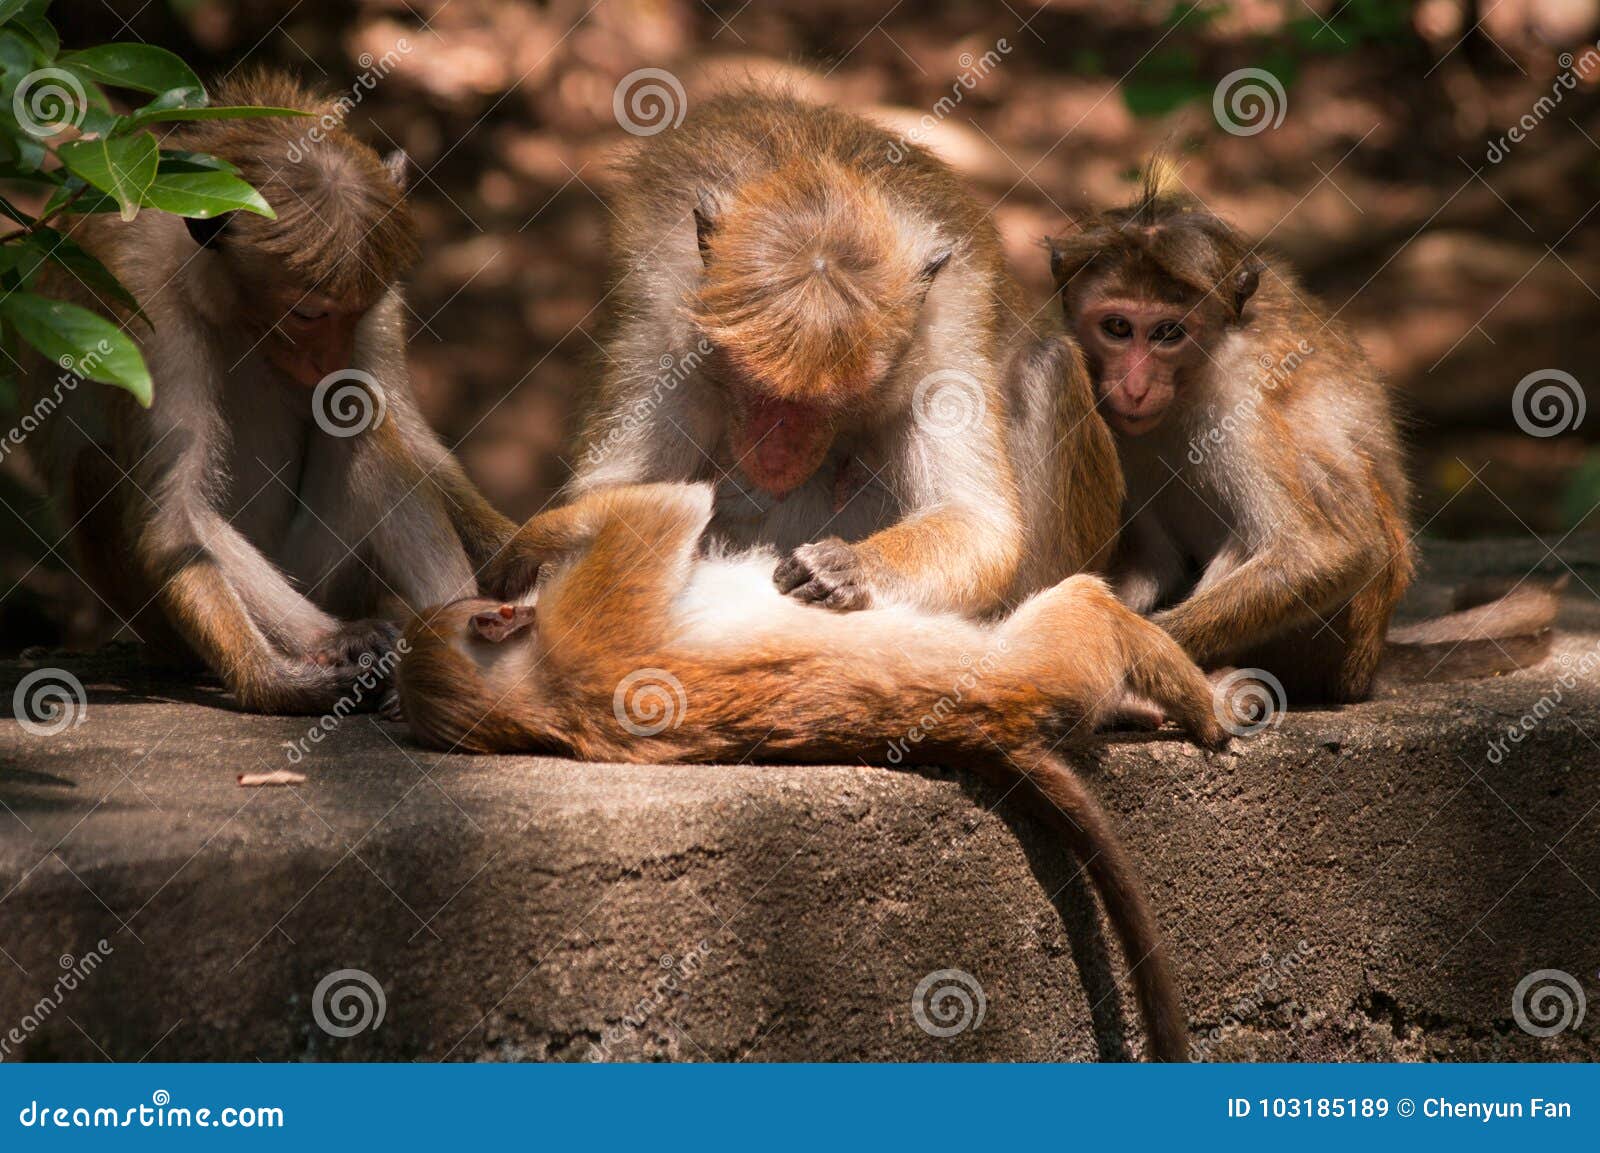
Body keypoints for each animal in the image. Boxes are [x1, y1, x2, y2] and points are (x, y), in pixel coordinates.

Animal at [20, 70, 514, 714]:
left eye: (355, 311)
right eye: (307, 314)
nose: (329, 359)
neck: (225, 303)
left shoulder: (383, 302)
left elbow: (412, 437)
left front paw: (518, 553)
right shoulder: (143, 303)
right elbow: (173, 516)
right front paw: (282, 677)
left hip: (329, 575)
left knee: (359, 416)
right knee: (97, 468)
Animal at [402, 481, 1231, 1061]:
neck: (537, 693)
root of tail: (985, 727)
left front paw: (512, 561)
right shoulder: (593, 610)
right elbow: (668, 508)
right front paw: (525, 550)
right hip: (1041, 659)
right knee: (1085, 603)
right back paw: (1195, 703)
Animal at [485, 88, 1121, 617]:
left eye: (832, 401)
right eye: (752, 385)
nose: (776, 449)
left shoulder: (944, 349)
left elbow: (977, 524)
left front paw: (851, 566)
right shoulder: (665, 335)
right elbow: (618, 496)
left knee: (1045, 363)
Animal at [1048, 160, 1558, 704]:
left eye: (1168, 333)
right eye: (1118, 328)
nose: (1135, 385)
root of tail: (1371, 661)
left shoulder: (1240, 399)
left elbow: (1326, 552)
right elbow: (1153, 560)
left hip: (1339, 639)